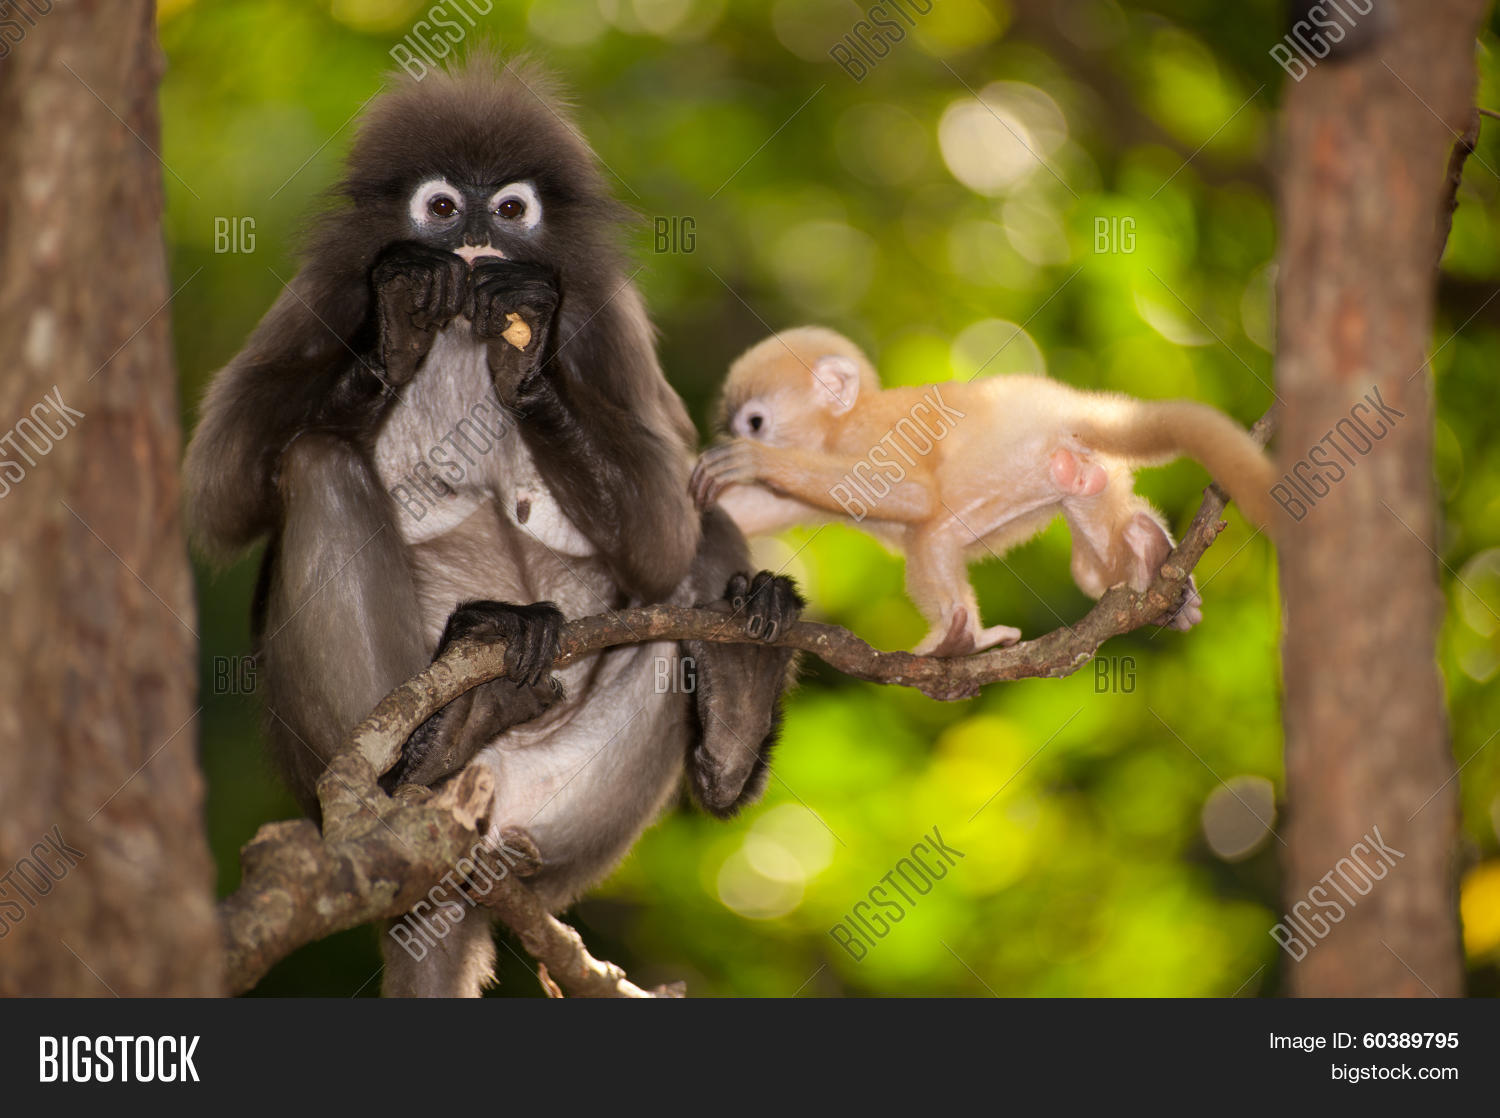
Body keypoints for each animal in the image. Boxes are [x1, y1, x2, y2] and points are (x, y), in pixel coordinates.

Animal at [182, 53, 803, 998]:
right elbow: (218, 487)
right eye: (444, 208)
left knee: (705, 533)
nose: (475, 236)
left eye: (509, 211)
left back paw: (736, 701)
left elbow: (665, 531)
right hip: (330, 763)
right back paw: (433, 746)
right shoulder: (326, 289)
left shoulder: (605, 315)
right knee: (319, 462)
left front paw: (530, 360)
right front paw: (397, 327)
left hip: (567, 828)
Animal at [690, 326, 1275, 658]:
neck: (838, 427)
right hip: (1084, 471)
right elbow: (752, 506)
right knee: (1093, 558)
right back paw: (1148, 551)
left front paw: (756, 462)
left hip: (1007, 460)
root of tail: (1066, 404)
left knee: (933, 535)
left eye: (755, 423)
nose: (741, 438)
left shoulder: (868, 434)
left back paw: (958, 643)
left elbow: (916, 495)